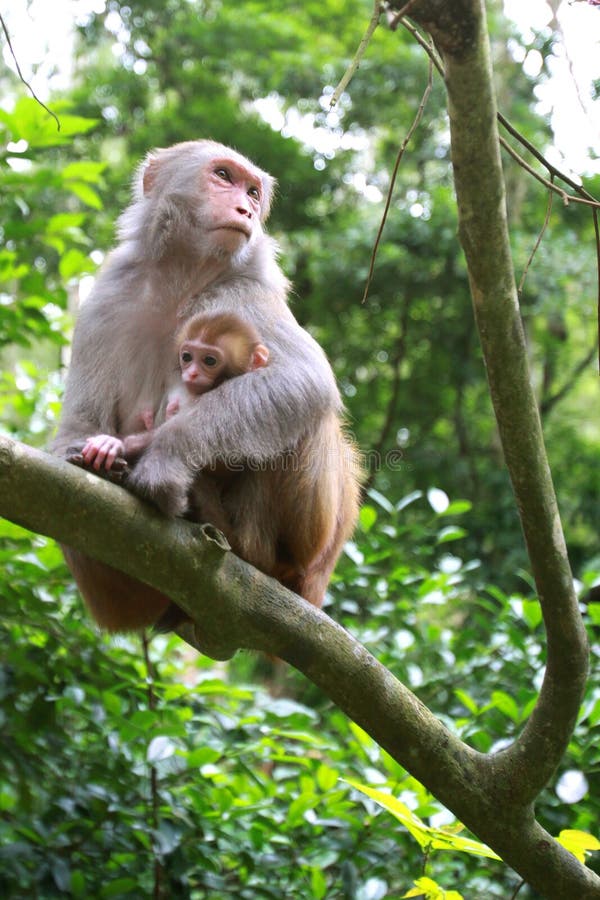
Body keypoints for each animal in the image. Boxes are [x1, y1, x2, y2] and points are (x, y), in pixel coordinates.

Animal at [53, 139, 361, 633]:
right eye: (222, 175)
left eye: (253, 192)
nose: (245, 209)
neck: (183, 277)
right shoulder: (109, 294)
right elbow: (77, 429)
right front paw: (97, 452)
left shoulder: (245, 294)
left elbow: (302, 379)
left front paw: (165, 457)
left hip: (307, 543)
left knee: (307, 417)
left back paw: (235, 538)